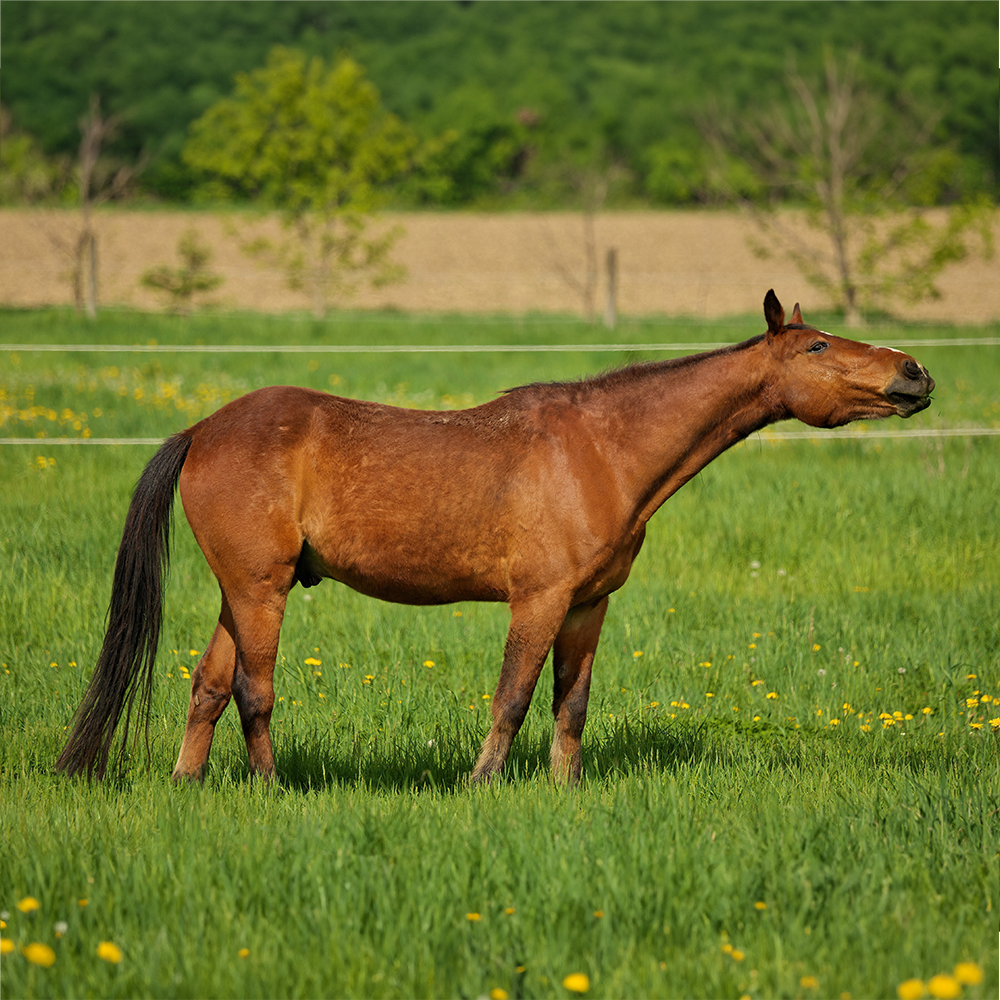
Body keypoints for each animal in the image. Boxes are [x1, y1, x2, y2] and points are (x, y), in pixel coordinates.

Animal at [56, 291, 934, 785]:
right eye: (817, 345)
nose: (915, 372)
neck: (602, 448)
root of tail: (204, 429)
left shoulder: (587, 607)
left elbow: (570, 706)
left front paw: (564, 792)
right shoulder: (537, 600)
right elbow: (512, 696)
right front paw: (482, 784)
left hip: (239, 593)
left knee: (207, 685)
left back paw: (186, 785)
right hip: (259, 590)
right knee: (253, 690)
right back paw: (272, 790)